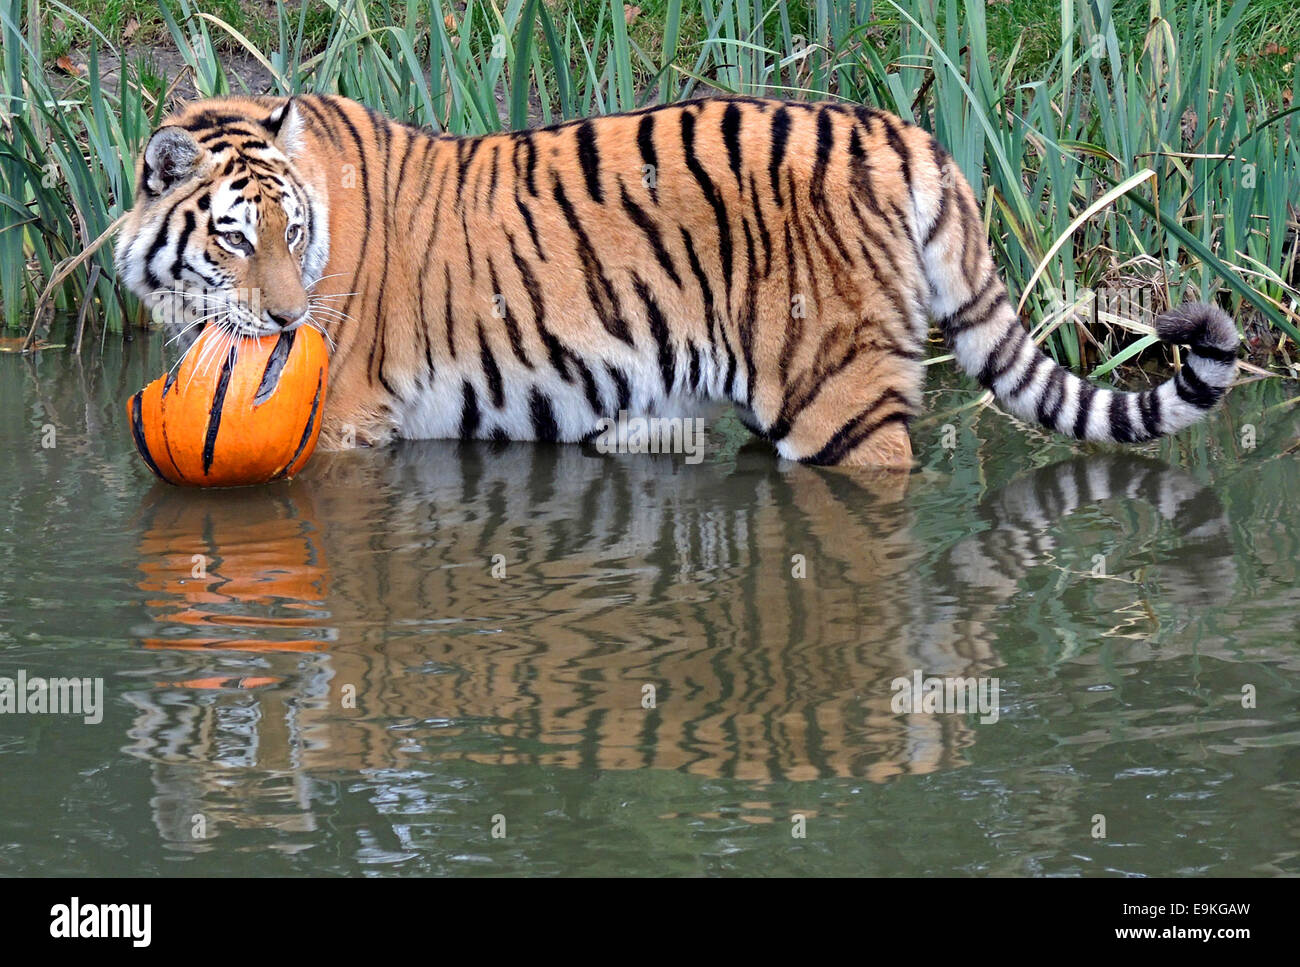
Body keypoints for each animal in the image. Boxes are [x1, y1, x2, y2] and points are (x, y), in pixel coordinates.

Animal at [115, 94, 1241, 467]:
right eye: (233, 238)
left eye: (290, 233)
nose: (286, 318)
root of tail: (896, 128)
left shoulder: (347, 427)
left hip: (838, 395)